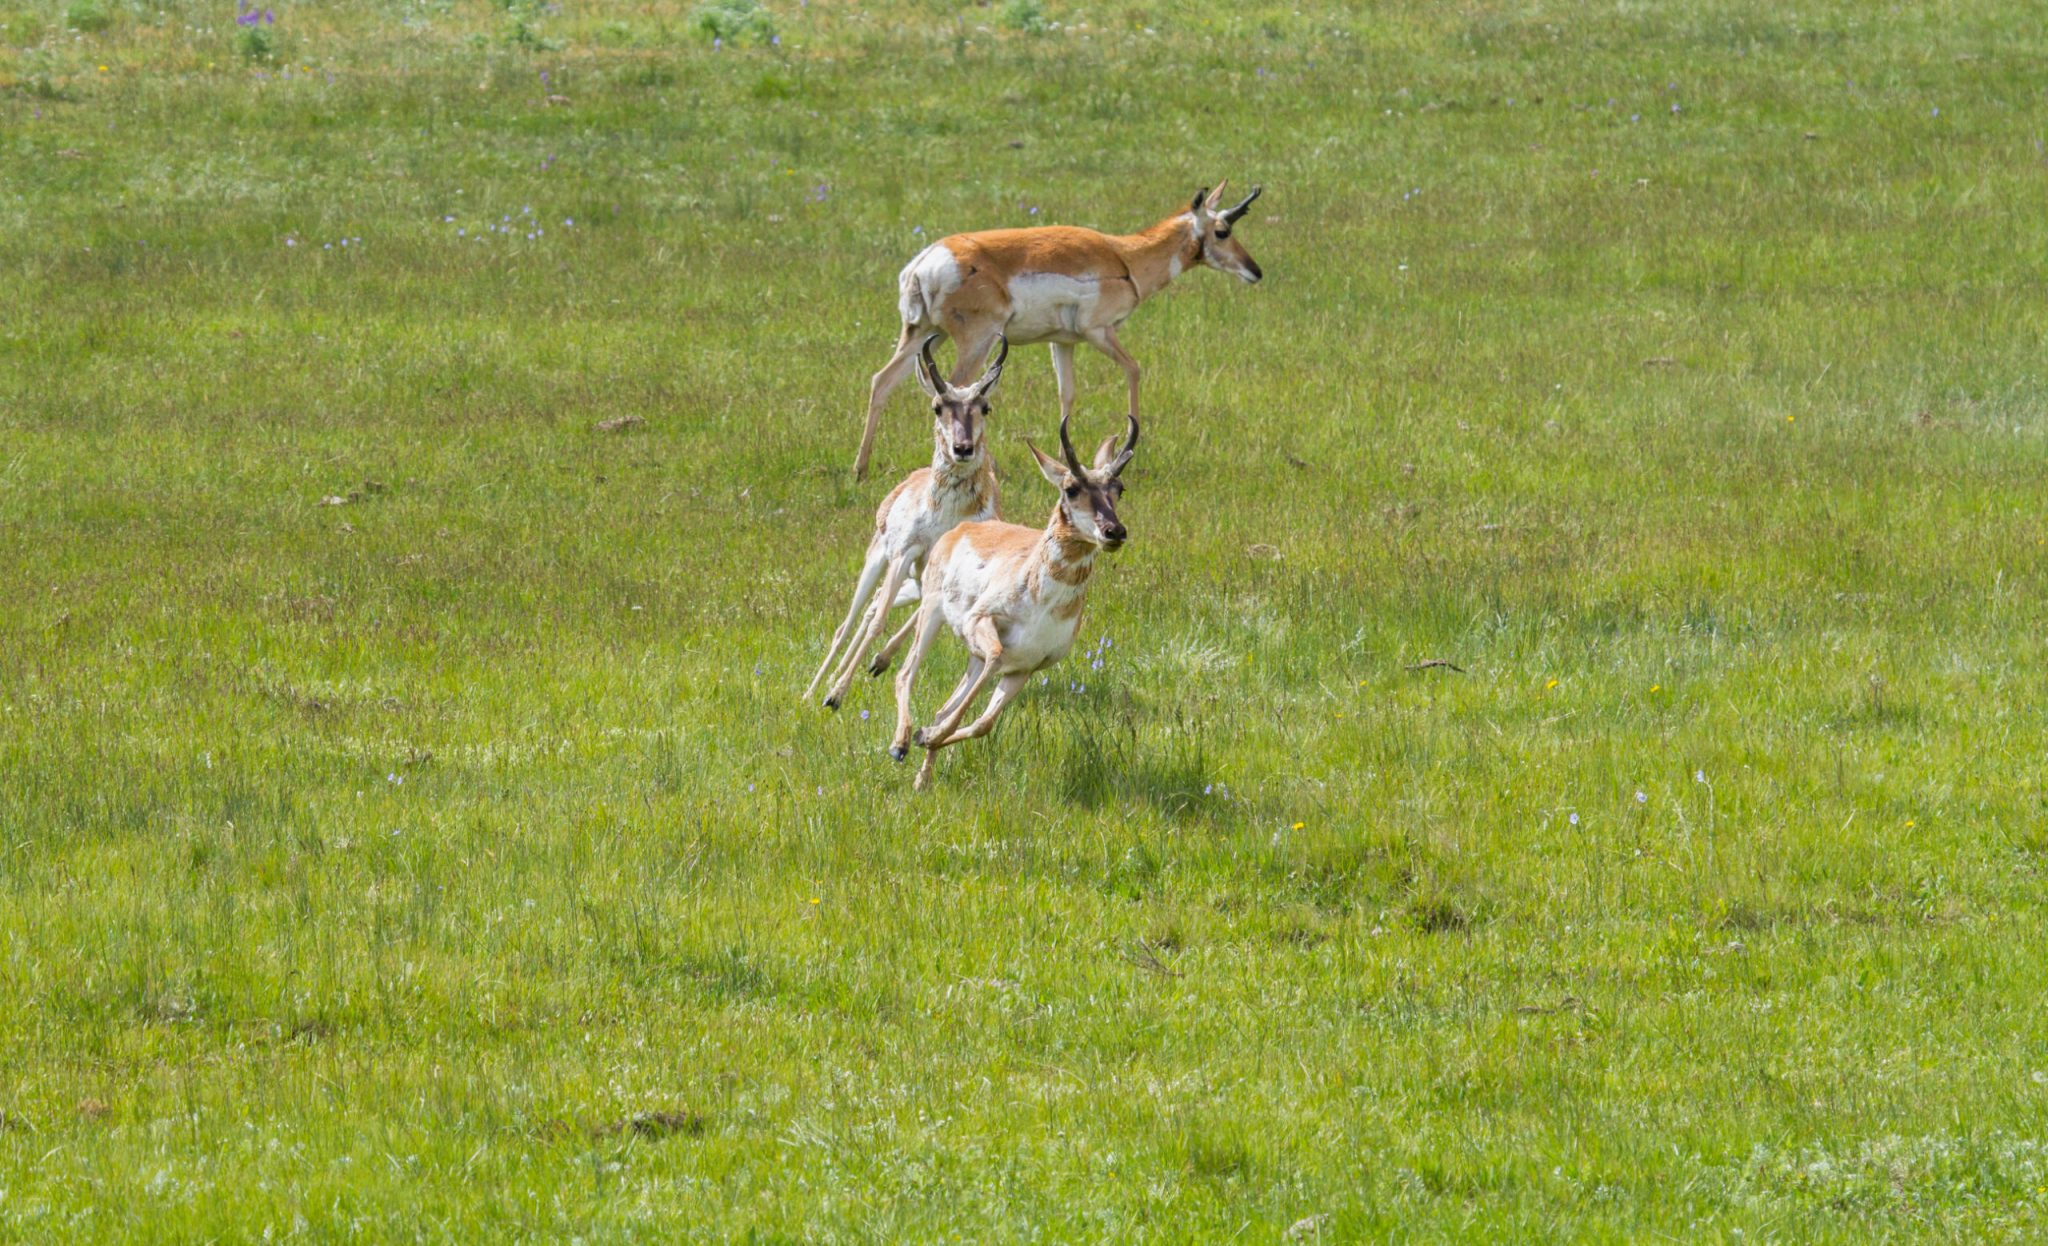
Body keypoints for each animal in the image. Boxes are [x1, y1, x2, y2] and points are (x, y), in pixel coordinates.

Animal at [804, 334, 1007, 710]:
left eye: (984, 407)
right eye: (937, 406)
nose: (963, 448)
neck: (946, 518)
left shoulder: (939, 574)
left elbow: (912, 623)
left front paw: (879, 662)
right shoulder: (904, 554)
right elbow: (879, 623)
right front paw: (836, 694)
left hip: (911, 581)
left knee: (873, 608)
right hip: (878, 561)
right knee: (850, 622)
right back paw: (813, 691)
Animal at [852, 181, 1263, 479]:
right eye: (1222, 231)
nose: (1255, 271)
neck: (1125, 256)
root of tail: (927, 259)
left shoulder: (1062, 343)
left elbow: (1067, 394)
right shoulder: (1099, 331)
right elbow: (1134, 368)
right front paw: (1131, 448)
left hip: (920, 334)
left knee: (881, 381)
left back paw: (861, 468)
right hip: (976, 340)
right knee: (957, 388)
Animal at [888, 410, 1139, 790]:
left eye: (1118, 489)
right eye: (1071, 488)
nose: (1114, 531)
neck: (1044, 606)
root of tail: (962, 528)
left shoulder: (1026, 667)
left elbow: (983, 724)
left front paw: (928, 736)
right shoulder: (982, 623)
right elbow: (994, 657)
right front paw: (923, 737)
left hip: (971, 655)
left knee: (945, 705)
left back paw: (922, 775)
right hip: (932, 614)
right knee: (905, 673)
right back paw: (900, 743)